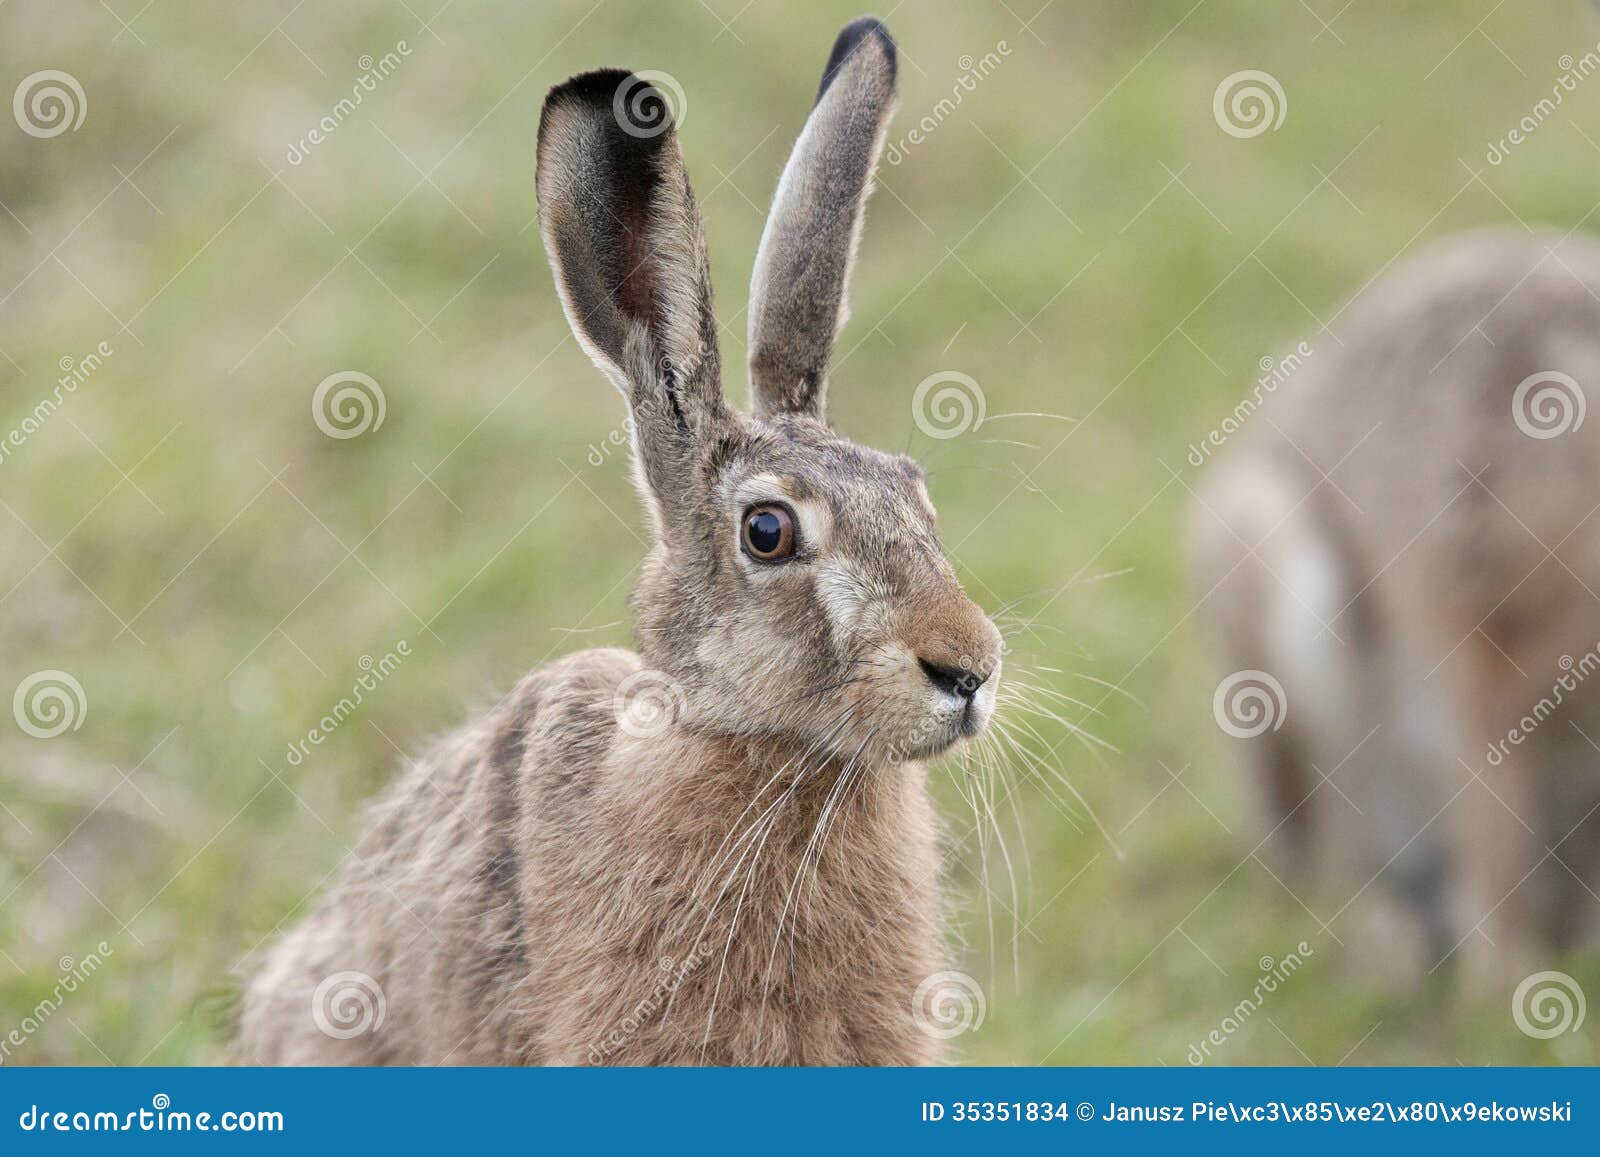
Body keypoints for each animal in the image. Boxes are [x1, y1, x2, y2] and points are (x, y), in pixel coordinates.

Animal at [1190, 226, 1600, 991]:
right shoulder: (1484, 643)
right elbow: (1494, 817)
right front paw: (1507, 982)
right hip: (1268, 577)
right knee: (1328, 851)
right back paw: (1391, 947)